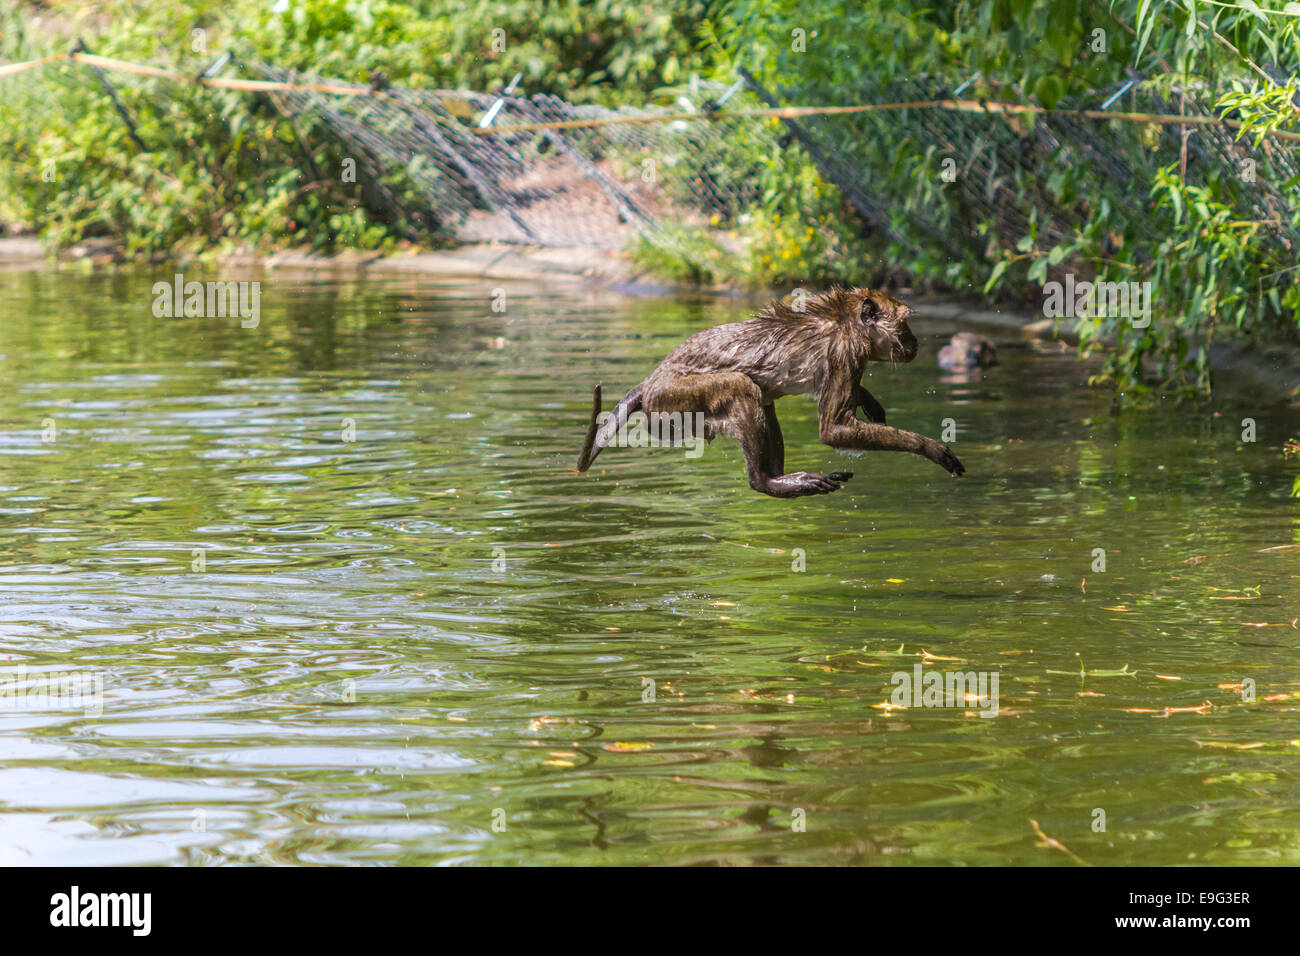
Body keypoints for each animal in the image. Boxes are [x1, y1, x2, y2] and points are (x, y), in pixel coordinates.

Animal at [576, 287, 965, 498]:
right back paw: (765, 481)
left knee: (762, 400)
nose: (914, 341)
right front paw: (932, 448)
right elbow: (834, 430)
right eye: (904, 323)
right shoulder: (845, 350)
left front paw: (868, 399)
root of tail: (650, 381)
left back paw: (779, 476)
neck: (844, 319)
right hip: (672, 399)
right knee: (741, 387)